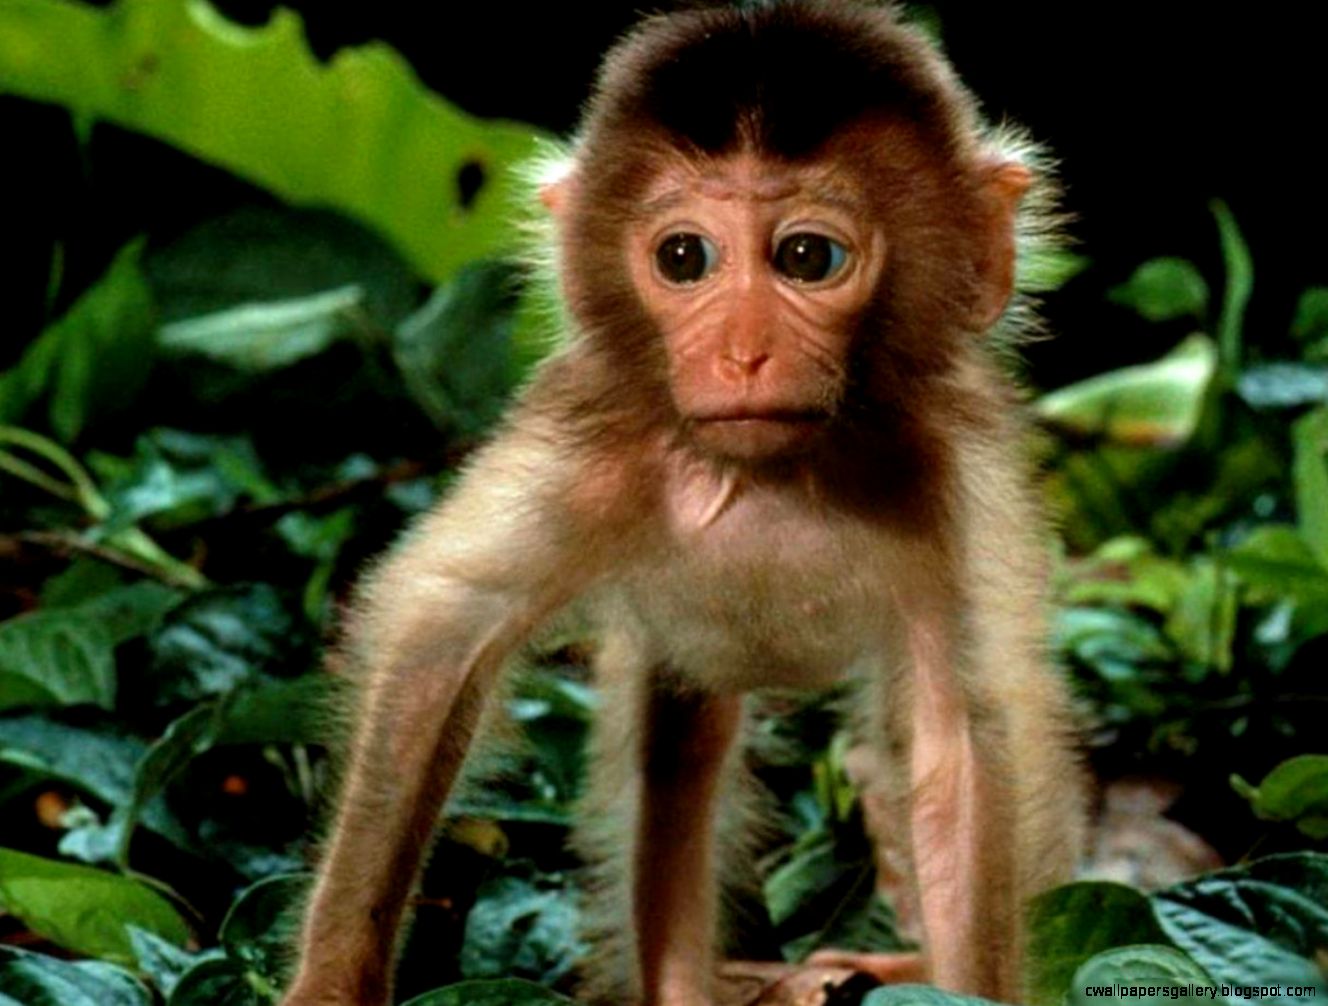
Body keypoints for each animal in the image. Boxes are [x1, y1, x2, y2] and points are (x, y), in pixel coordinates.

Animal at [281, 3, 1085, 1004]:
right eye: (682, 258)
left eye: (807, 257)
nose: (743, 353)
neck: (774, 478)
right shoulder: (588, 451)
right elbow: (440, 636)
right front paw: (332, 981)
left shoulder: (951, 477)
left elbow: (955, 752)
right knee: (676, 758)